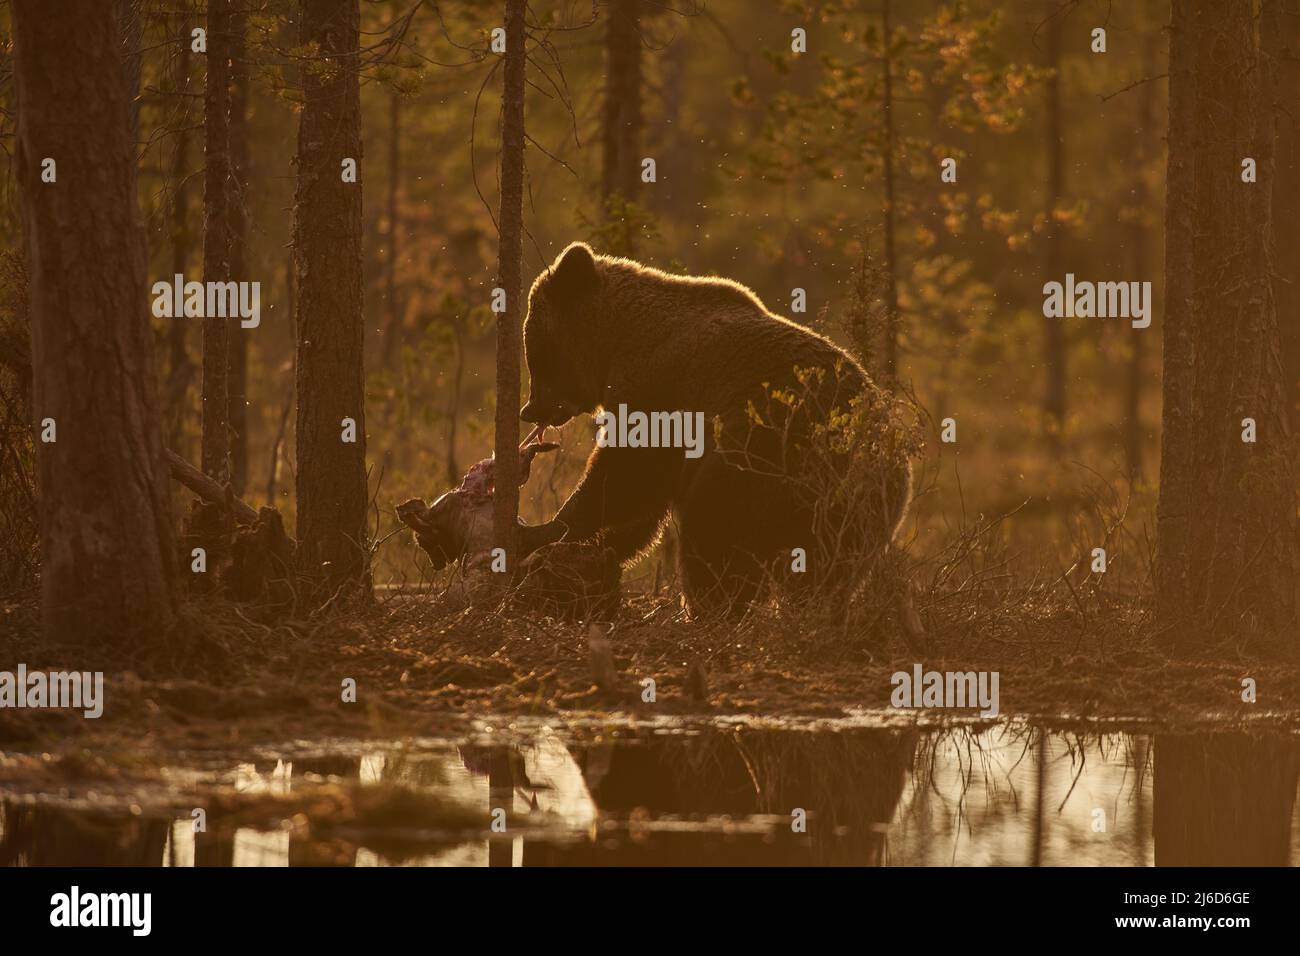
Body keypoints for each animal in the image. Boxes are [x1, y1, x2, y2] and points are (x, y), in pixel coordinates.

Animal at [512, 238, 909, 613]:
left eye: (536, 353)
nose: (528, 410)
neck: (615, 342)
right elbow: (641, 508)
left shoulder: (658, 388)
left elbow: (626, 476)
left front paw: (539, 532)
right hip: (856, 515)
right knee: (825, 572)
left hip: (763, 457)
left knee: (712, 531)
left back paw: (708, 609)